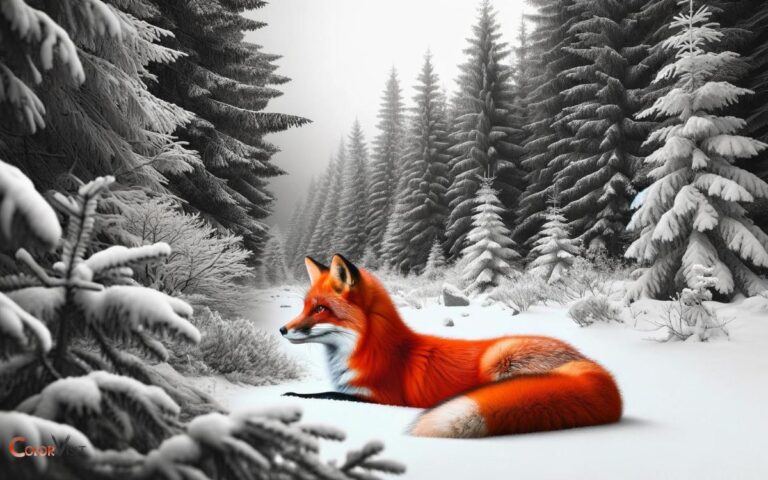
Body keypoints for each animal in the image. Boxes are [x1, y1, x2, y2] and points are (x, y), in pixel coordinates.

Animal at [279, 254, 622, 438]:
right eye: (305, 306)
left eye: (320, 309)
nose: (282, 329)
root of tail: (587, 361)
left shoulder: (380, 397)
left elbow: (323, 394)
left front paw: (291, 395)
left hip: (498, 359)